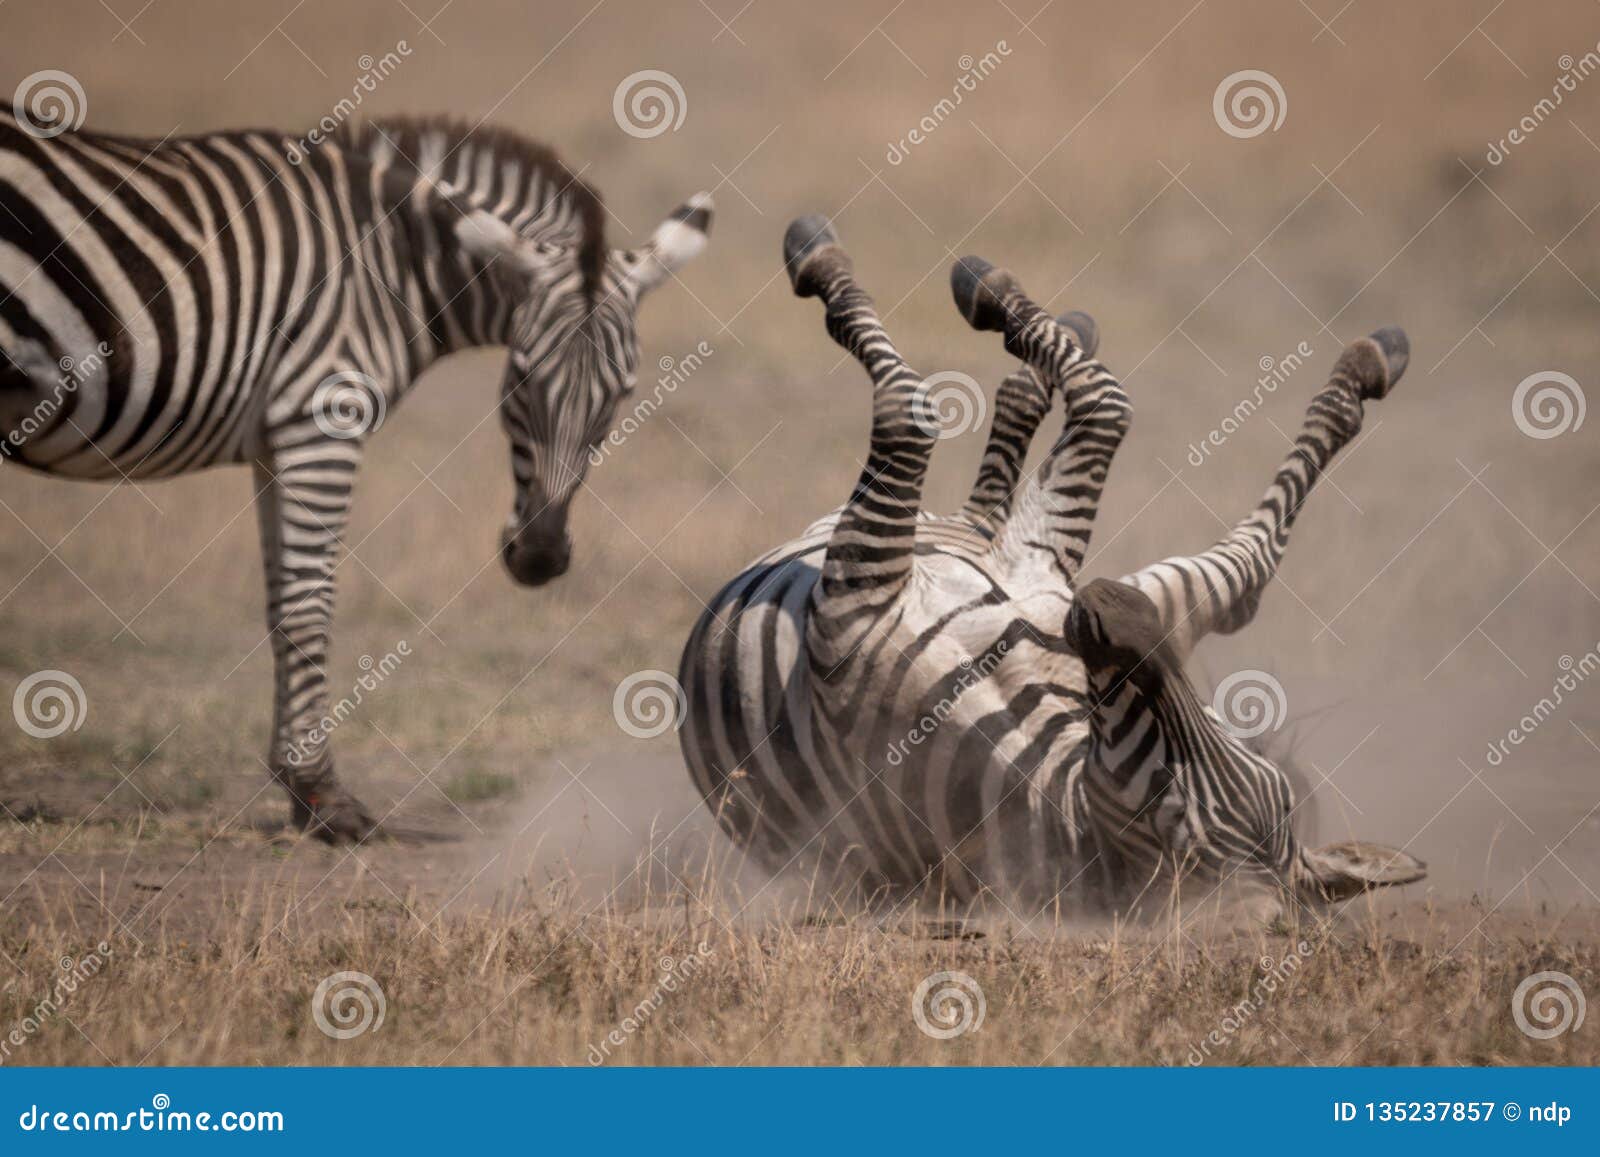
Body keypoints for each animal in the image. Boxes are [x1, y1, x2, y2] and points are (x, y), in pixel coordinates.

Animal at [0, 110, 711, 841]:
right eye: (519, 380)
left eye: (622, 397)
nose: (540, 556)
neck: (384, 262)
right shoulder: (321, 416)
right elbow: (309, 604)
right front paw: (325, 798)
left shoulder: (276, 436)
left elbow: (279, 604)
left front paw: (295, 783)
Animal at [677, 216, 1426, 917]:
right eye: (1263, 769)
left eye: (1172, 819)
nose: (1111, 612)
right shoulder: (1182, 590)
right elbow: (1242, 543)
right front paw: (1366, 370)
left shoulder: (848, 618)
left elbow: (912, 408)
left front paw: (829, 266)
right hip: (1042, 555)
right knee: (1035, 460)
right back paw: (1039, 327)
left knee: (1019, 449)